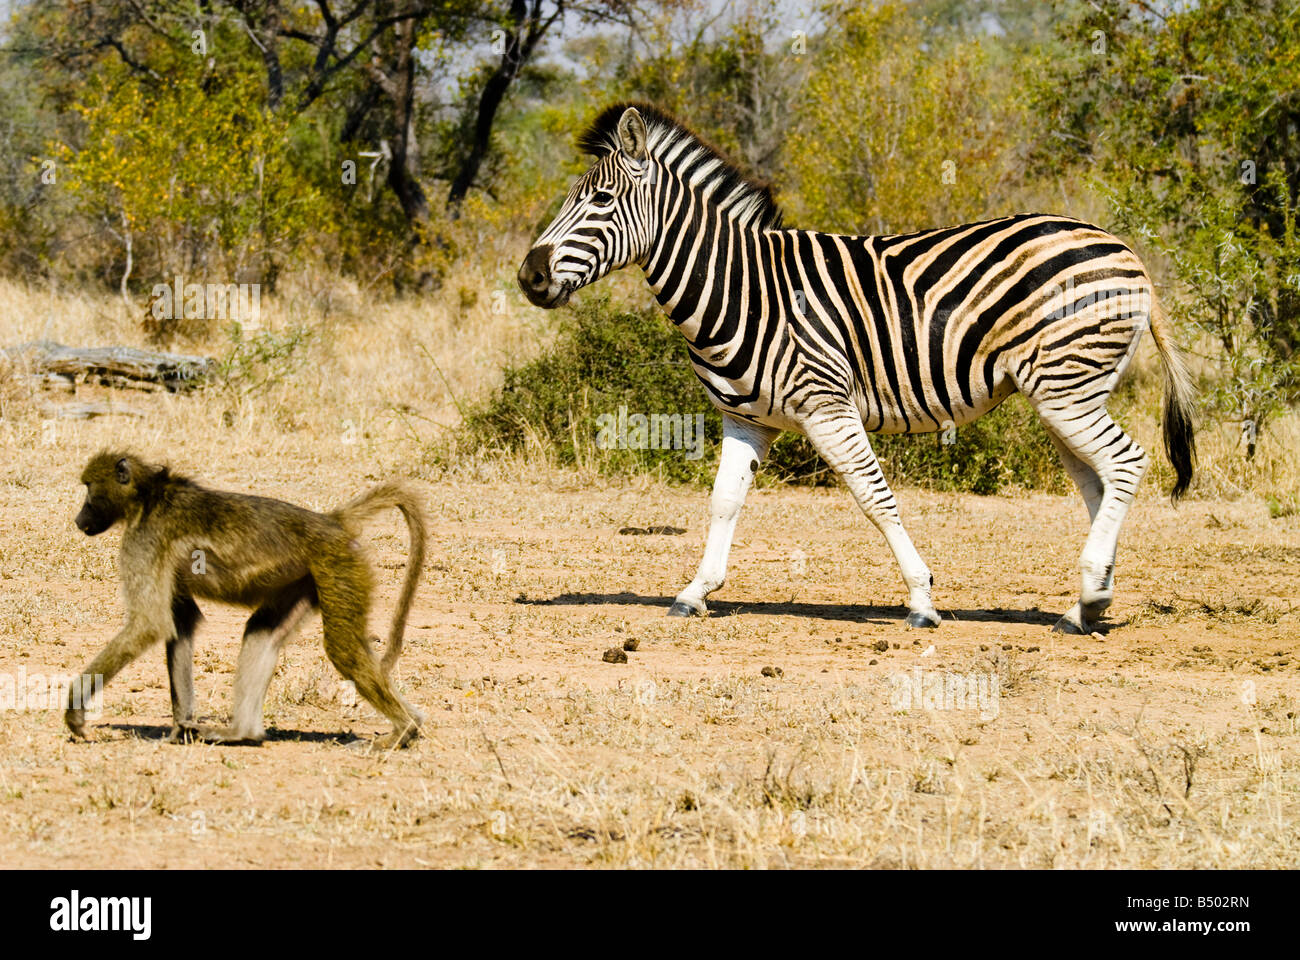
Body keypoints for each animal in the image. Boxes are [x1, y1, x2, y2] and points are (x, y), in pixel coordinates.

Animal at [64, 450, 427, 750]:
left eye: (88, 489)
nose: (79, 520)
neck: (147, 495)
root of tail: (331, 521)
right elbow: (181, 622)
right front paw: (180, 730)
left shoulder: (143, 541)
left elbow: (149, 624)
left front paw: (75, 712)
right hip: (305, 580)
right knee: (261, 631)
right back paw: (242, 733)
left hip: (338, 564)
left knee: (342, 648)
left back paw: (404, 729)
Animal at [517, 102, 1196, 634]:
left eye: (602, 200)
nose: (528, 276)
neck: (742, 287)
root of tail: (1127, 251)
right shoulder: (745, 419)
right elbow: (723, 502)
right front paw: (694, 592)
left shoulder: (827, 407)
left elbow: (875, 498)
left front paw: (921, 599)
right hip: (1064, 391)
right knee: (1099, 480)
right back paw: (1088, 605)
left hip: (1065, 386)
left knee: (1126, 463)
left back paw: (1090, 593)